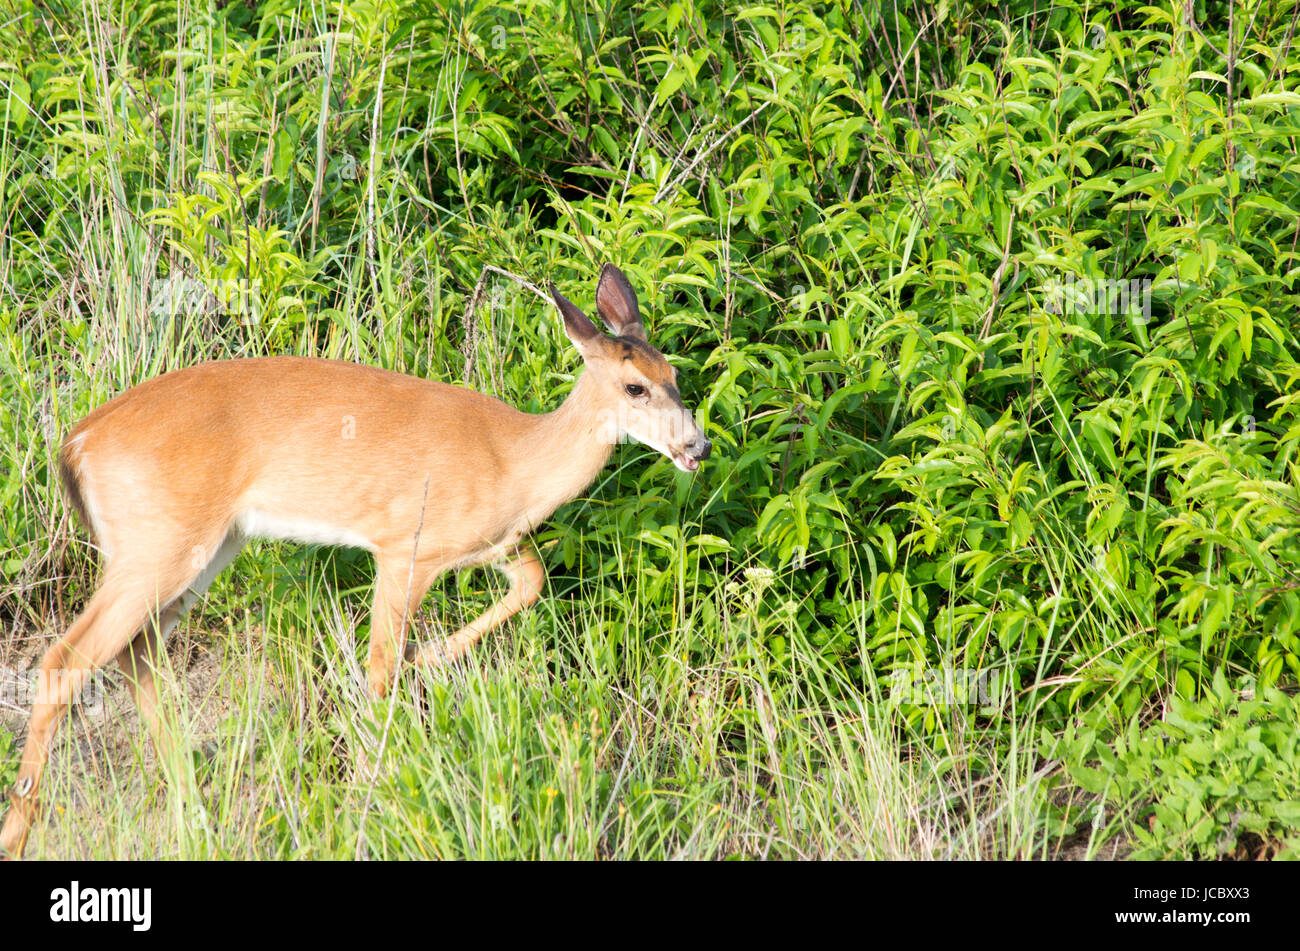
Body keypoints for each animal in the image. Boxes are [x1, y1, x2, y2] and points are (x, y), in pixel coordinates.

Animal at [0, 263, 712, 858]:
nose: (698, 448)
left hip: (204, 547)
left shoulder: (492, 545)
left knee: (135, 651)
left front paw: (430, 658)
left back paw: (195, 812)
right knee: (65, 660)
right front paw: (374, 791)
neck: (515, 460)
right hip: (158, 543)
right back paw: (22, 830)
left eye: (675, 377)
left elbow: (531, 584)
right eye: (635, 387)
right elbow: (378, 667)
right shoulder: (405, 547)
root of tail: (76, 443)